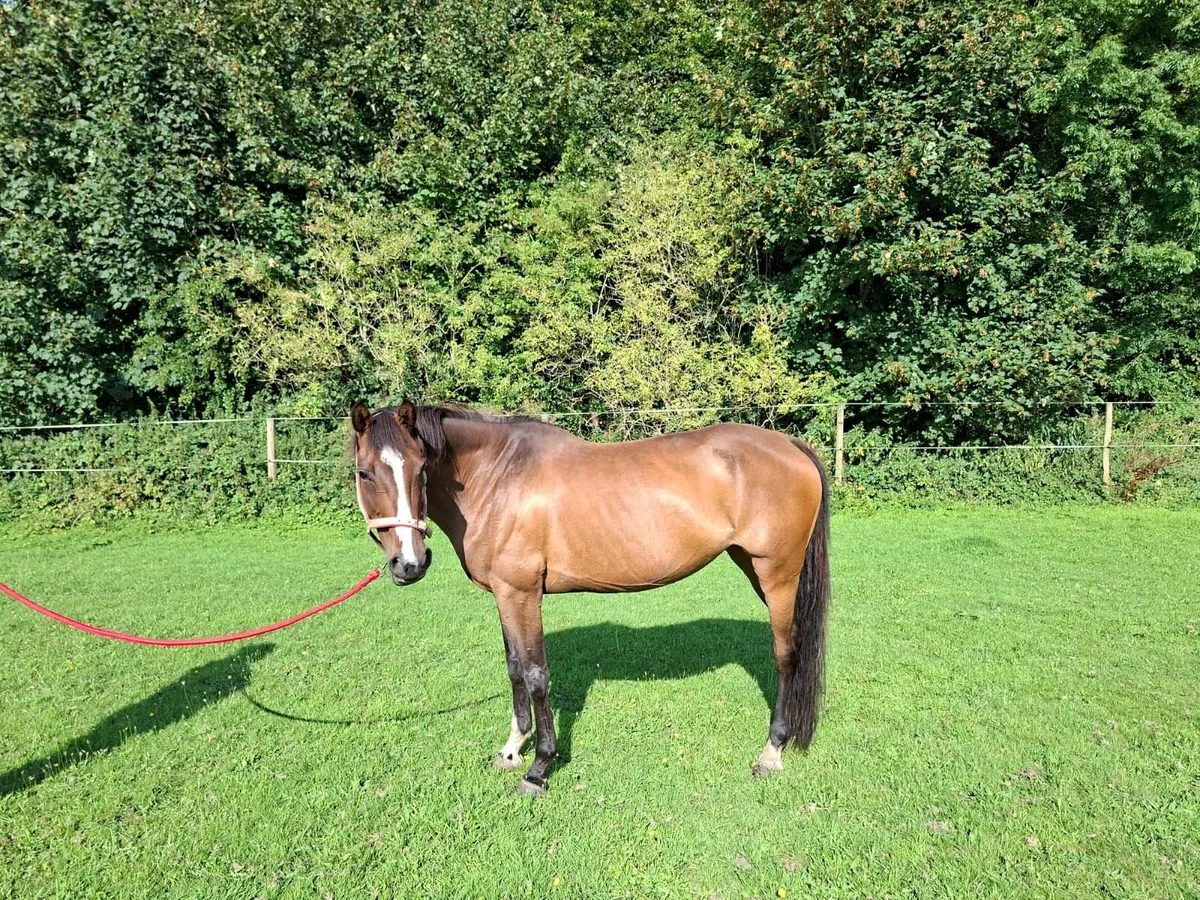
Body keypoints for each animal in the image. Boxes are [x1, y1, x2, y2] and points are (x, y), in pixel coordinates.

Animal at [350, 401, 830, 796]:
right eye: (364, 472)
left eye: (420, 469)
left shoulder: (522, 594)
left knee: (786, 655)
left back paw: (771, 753)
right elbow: (514, 669)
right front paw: (512, 750)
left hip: (777, 574)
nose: (409, 564)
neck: (497, 478)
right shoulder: (504, 596)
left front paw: (539, 768)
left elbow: (536, 674)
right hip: (753, 566)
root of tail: (789, 445)